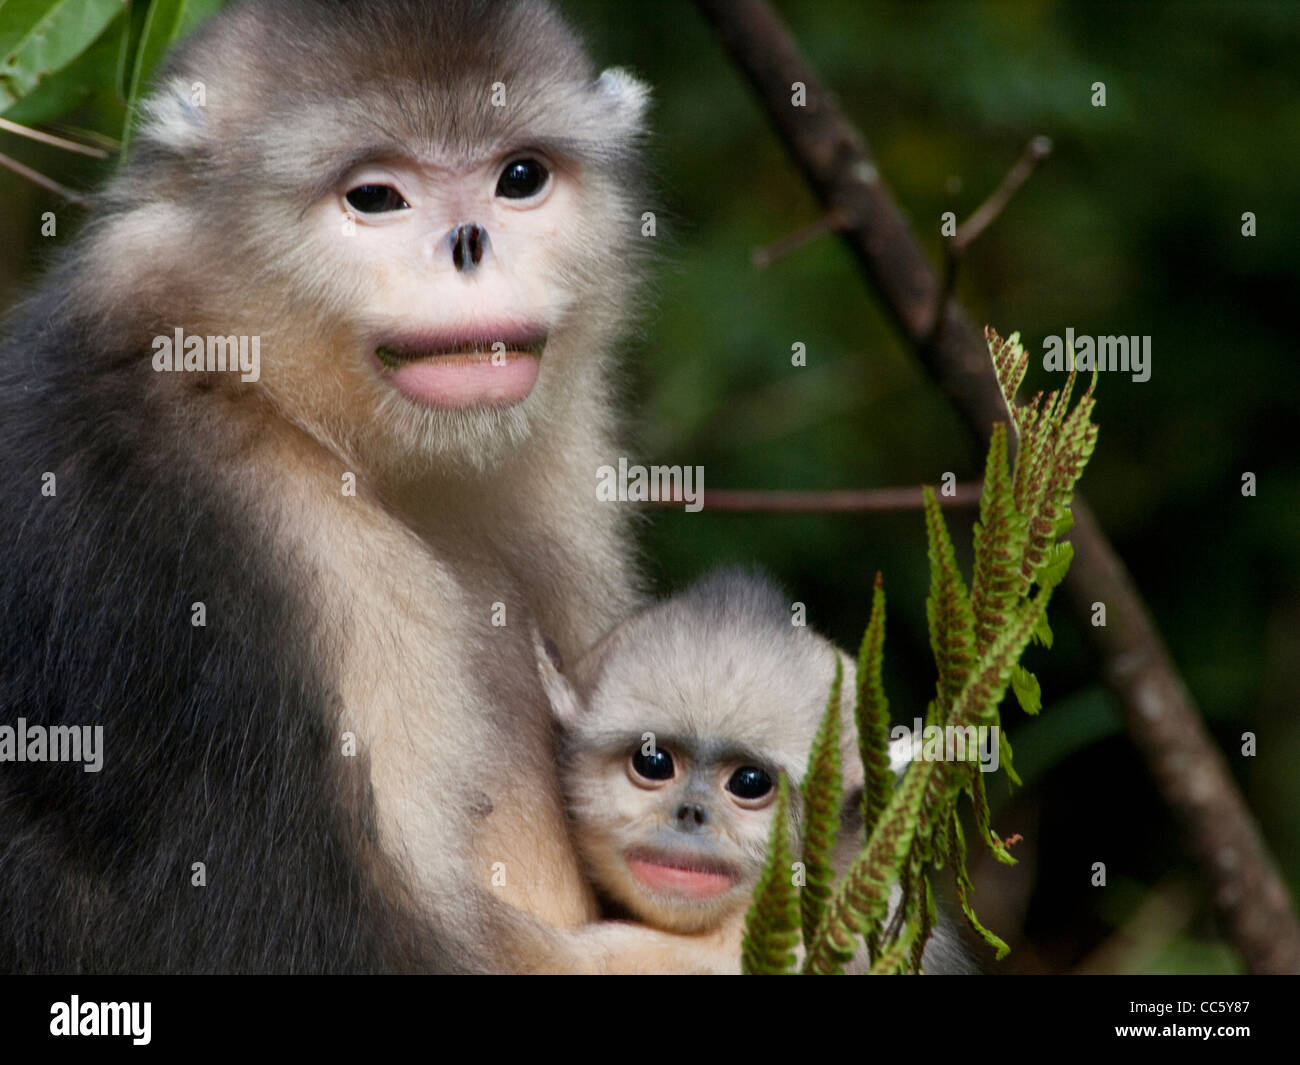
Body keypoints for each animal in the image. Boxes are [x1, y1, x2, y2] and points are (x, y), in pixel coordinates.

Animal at [0, 0, 735, 974]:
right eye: (376, 197)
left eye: (520, 178)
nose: (470, 247)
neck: (247, 375)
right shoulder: (266, 540)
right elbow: (281, 928)